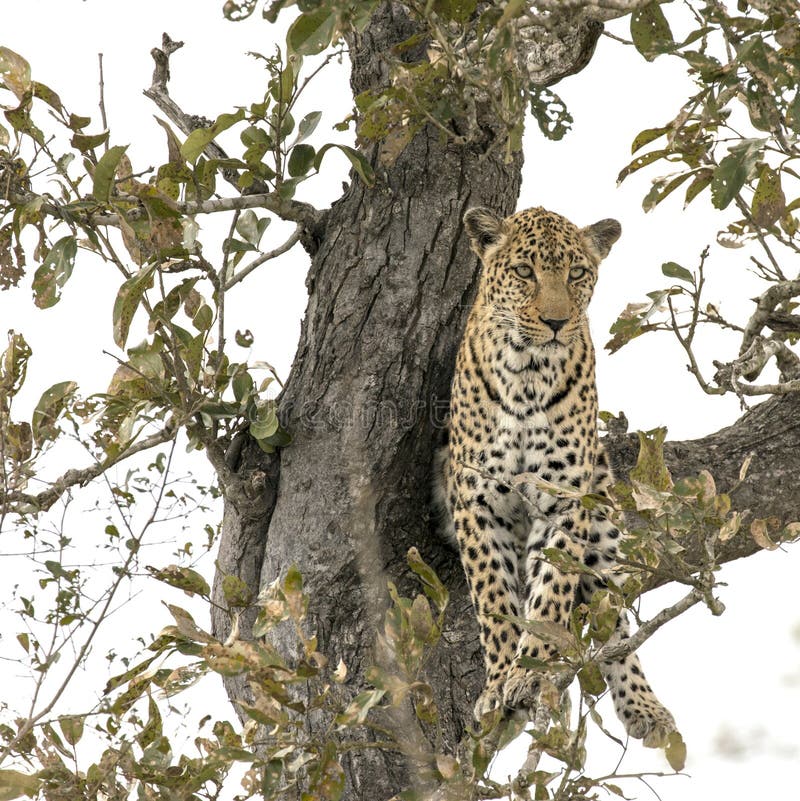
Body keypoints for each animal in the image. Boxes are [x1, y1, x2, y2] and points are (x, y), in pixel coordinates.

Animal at [433, 204, 677, 745]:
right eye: (525, 272)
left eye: (577, 273)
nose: (556, 321)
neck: (528, 372)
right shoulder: (477, 502)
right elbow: (494, 598)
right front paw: (498, 683)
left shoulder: (565, 499)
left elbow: (552, 592)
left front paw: (530, 673)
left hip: (603, 517)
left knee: (613, 622)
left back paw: (644, 708)